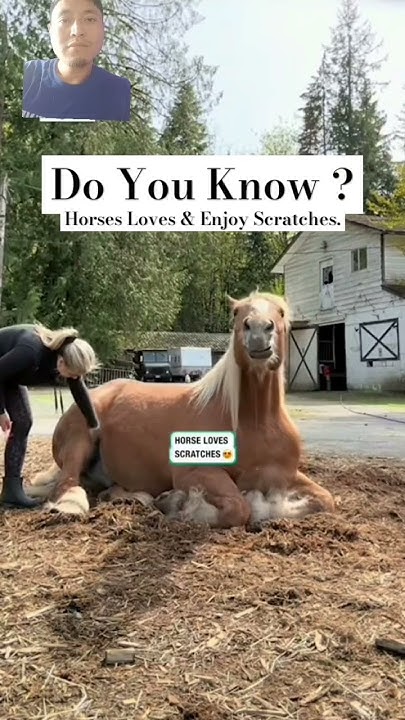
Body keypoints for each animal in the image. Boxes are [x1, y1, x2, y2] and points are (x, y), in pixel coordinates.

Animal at [28, 291, 336, 528]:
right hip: (80, 438)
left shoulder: (285, 475)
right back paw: (72, 504)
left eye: (281, 311)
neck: (256, 424)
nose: (259, 329)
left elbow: (327, 499)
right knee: (67, 481)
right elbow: (238, 508)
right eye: (237, 312)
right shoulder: (194, 472)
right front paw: (177, 505)